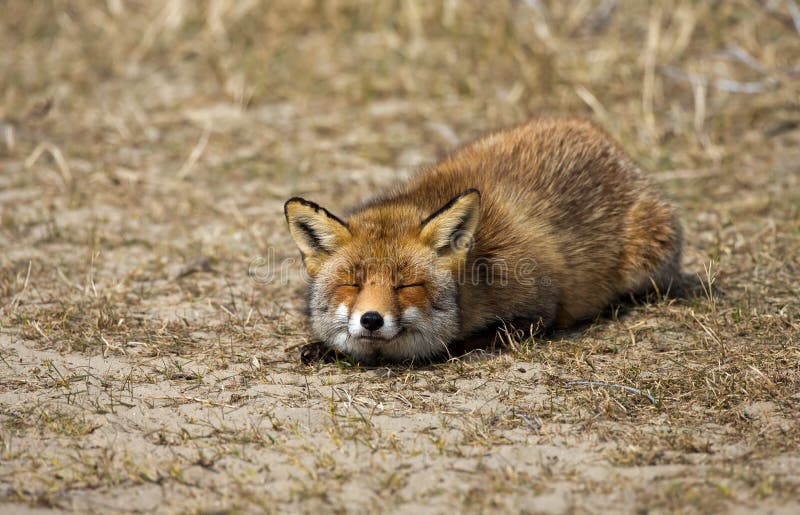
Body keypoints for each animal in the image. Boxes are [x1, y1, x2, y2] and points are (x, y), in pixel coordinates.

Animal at [284, 118, 683, 364]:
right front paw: (324, 349)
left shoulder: (537, 310)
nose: (371, 320)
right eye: (352, 284)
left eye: (406, 286)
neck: (477, 282)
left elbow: (463, 342)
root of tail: (603, 136)